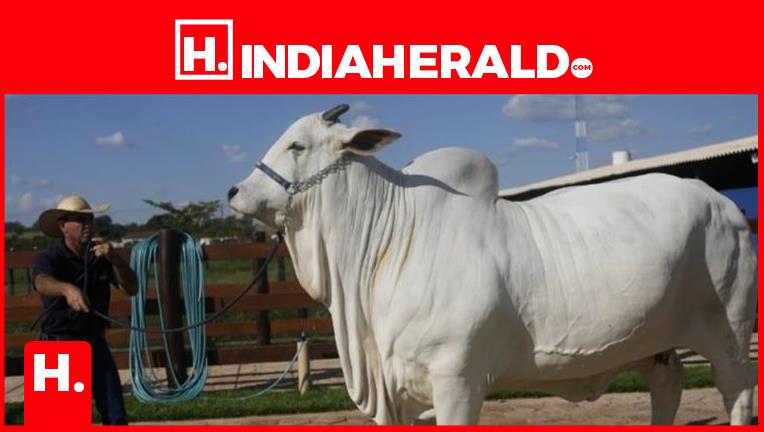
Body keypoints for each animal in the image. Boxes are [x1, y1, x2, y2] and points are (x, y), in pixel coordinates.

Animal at [227, 104, 757, 425]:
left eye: (297, 145)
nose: (234, 191)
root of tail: (723, 203)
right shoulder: (403, 389)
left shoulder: (457, 380)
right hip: (656, 345)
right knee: (669, 386)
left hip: (729, 334)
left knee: (738, 393)